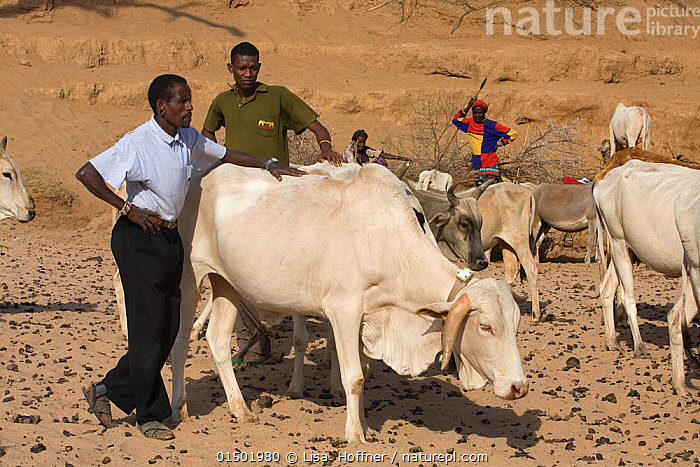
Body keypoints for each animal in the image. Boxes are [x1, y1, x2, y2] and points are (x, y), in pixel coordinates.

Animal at [168, 162, 529, 443]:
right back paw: (178, 408)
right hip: (190, 276)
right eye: (486, 326)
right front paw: (355, 434)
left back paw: (241, 409)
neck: (386, 242)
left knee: (217, 340)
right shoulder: (344, 312)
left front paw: (366, 425)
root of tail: (197, 181)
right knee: (180, 341)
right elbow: (353, 377)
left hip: (227, 284)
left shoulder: (367, 319)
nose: (519, 387)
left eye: (515, 326)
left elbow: (365, 372)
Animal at [594, 160, 700, 395]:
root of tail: (607, 178)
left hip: (624, 249)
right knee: (627, 297)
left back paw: (612, 341)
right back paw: (639, 346)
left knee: (607, 288)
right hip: (618, 241)